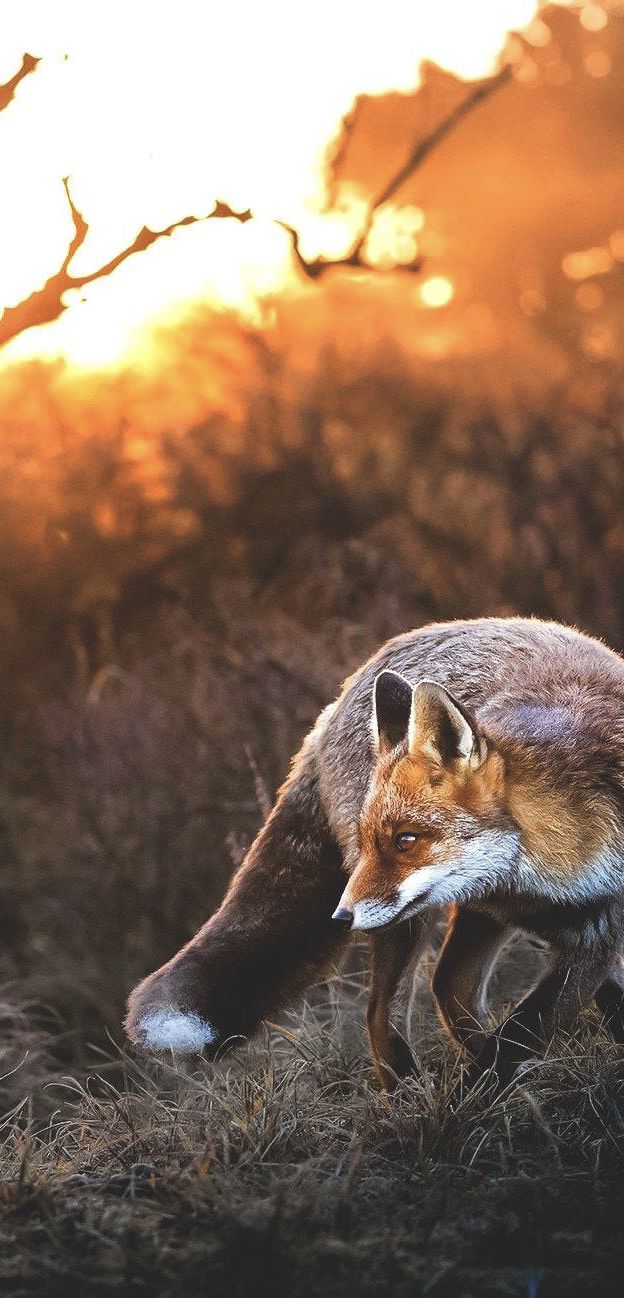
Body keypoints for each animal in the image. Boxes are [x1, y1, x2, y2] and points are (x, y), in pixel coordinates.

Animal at [125, 617, 624, 1088]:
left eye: (406, 840)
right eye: (371, 840)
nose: (341, 916)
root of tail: (335, 704)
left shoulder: (594, 931)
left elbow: (533, 1025)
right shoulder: (588, 935)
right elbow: (520, 1034)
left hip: (472, 913)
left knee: (451, 987)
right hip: (410, 922)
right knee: (386, 1013)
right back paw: (417, 1101)